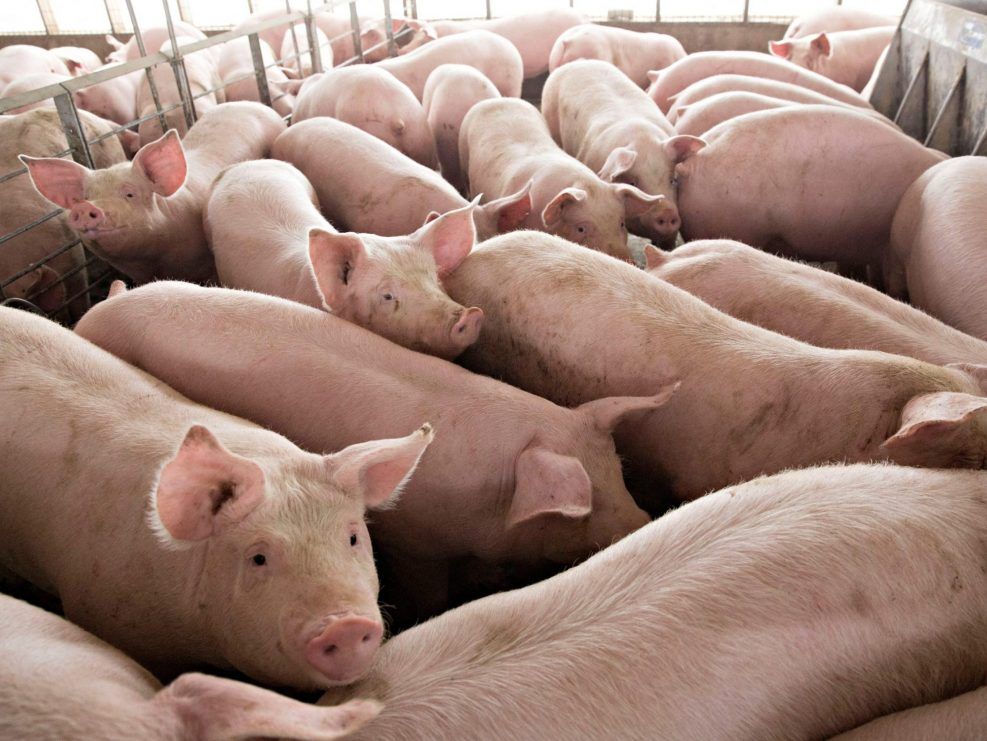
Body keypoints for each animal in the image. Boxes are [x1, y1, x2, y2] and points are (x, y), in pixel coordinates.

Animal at [76, 281, 658, 619]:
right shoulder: (416, 543)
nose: (645, 521)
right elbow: (431, 594)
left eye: (618, 472)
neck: (490, 495)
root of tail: (102, 302)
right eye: (579, 507)